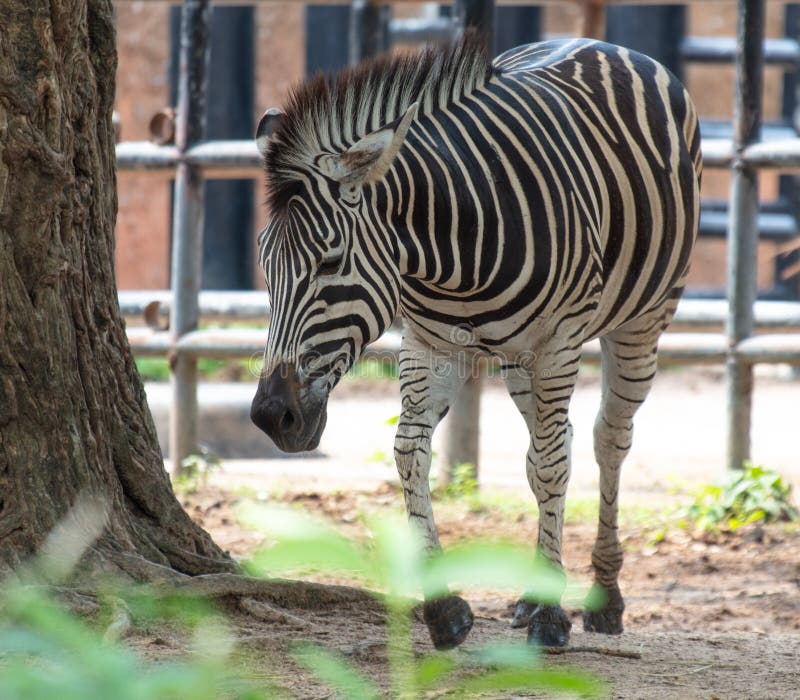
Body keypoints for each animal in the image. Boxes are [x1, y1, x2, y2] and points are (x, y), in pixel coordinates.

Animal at [250, 34, 701, 649]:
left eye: (330, 262)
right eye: (264, 268)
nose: (271, 416)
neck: (448, 251)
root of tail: (603, 43)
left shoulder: (558, 342)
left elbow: (555, 464)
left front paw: (552, 617)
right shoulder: (428, 345)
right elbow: (412, 452)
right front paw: (444, 607)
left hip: (642, 320)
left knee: (607, 438)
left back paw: (603, 596)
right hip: (519, 360)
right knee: (549, 444)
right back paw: (533, 593)